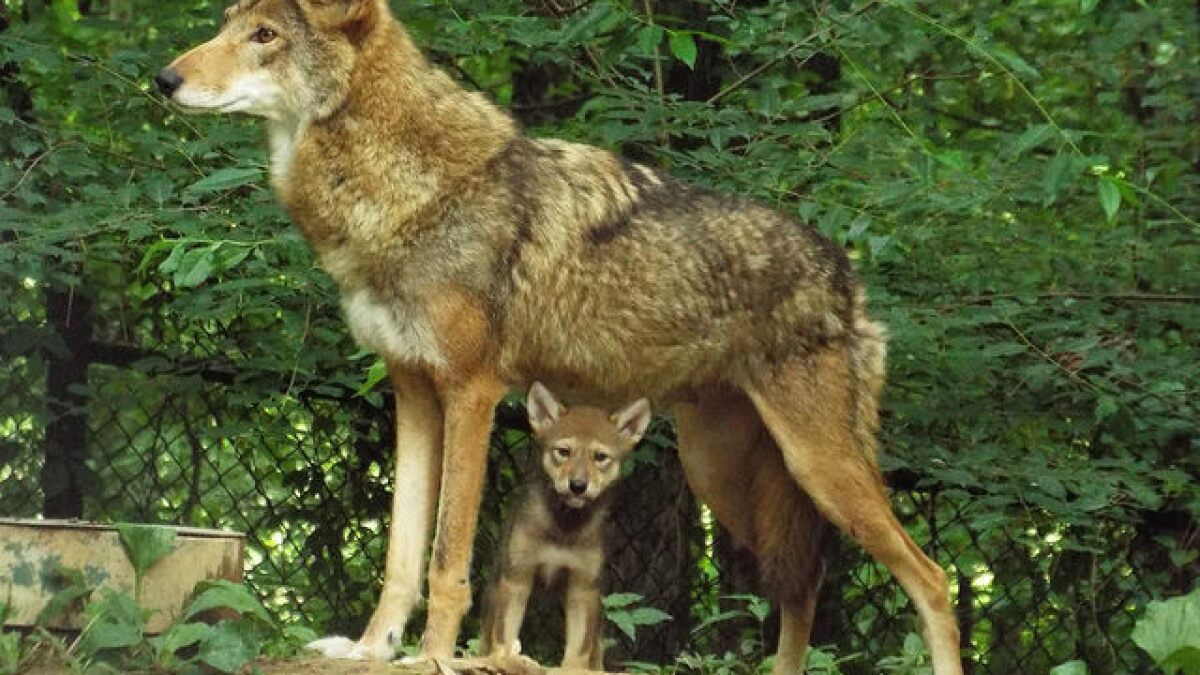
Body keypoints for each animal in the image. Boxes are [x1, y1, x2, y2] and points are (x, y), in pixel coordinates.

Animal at [479, 382, 650, 669]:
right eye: (563, 452)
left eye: (600, 457)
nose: (578, 486)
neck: (563, 527)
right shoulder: (517, 579)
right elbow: (504, 638)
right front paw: (506, 660)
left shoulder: (582, 588)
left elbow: (578, 651)